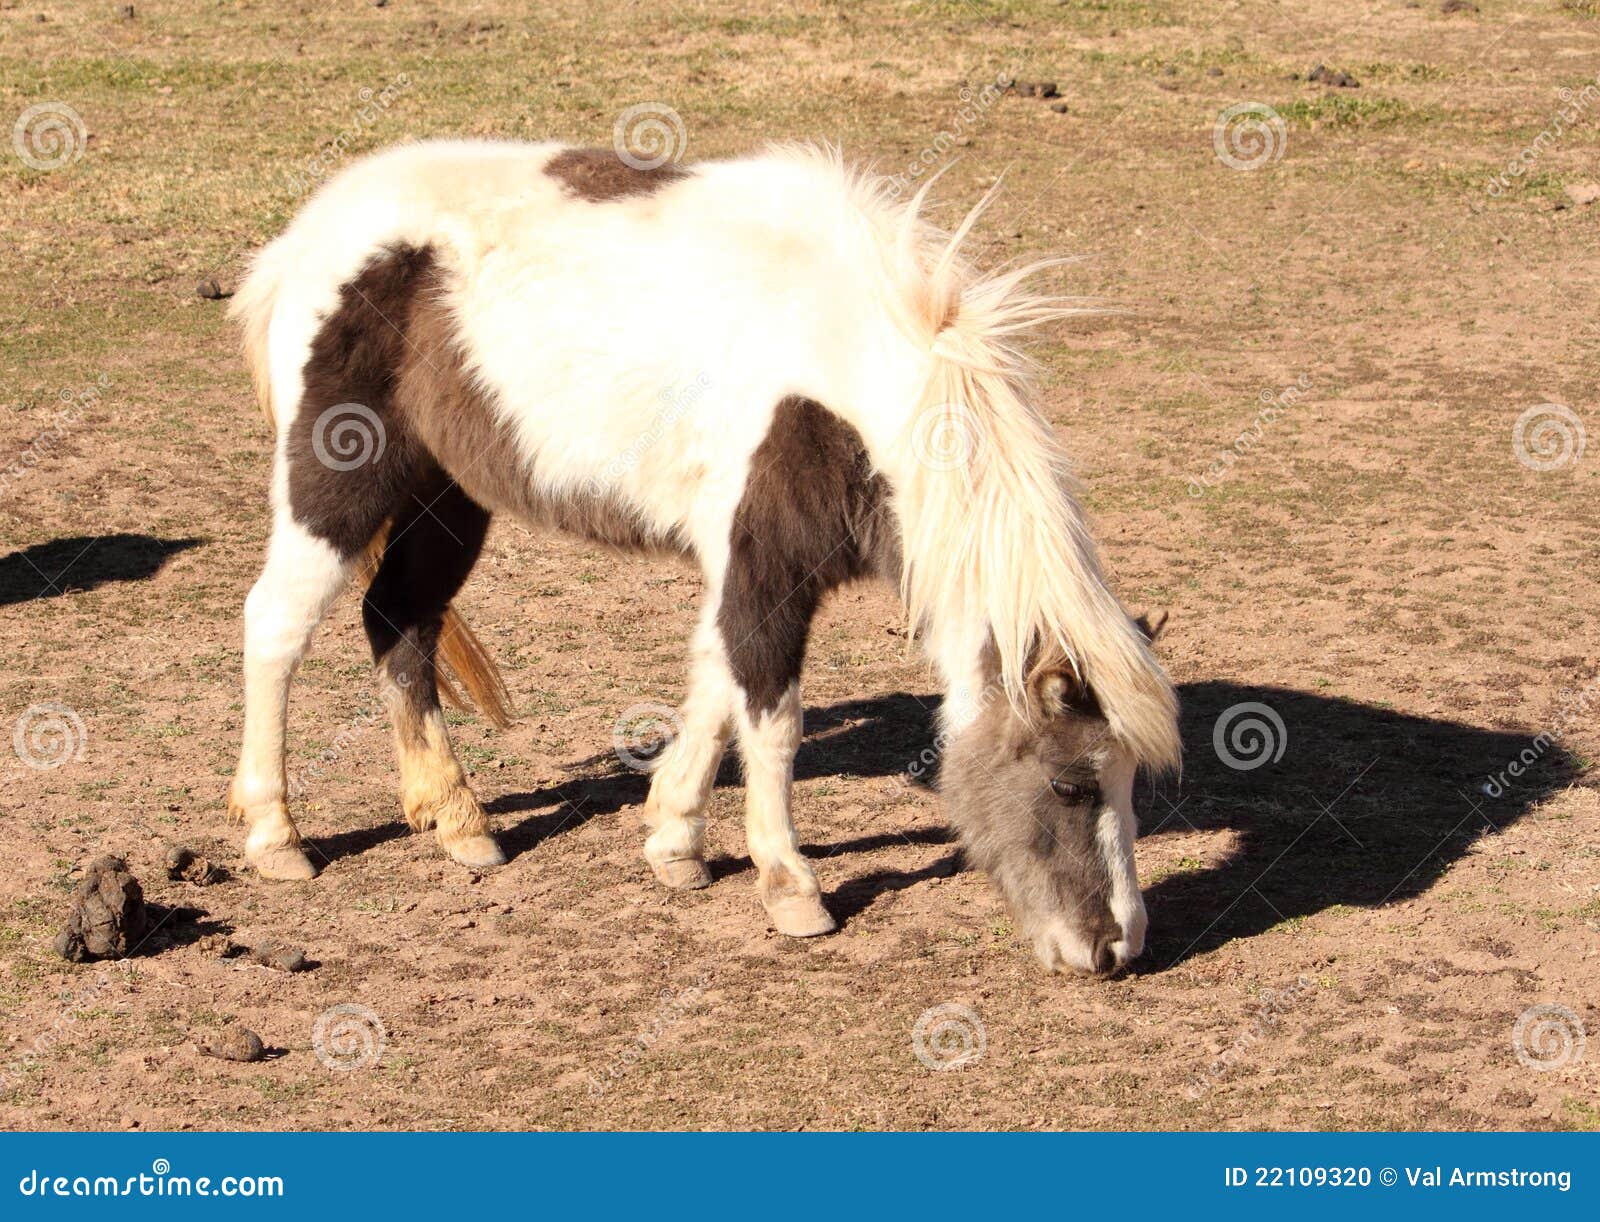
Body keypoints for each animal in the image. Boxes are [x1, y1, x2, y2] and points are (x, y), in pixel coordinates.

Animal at [225, 139, 1181, 976]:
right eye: (1067, 784)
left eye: (1131, 780)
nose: (1116, 949)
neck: (840, 358)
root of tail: (308, 235)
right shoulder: (763, 561)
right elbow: (770, 715)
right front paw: (790, 887)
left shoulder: (746, 566)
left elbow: (717, 687)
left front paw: (674, 841)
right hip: (335, 485)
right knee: (277, 624)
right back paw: (276, 836)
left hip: (447, 496)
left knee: (400, 619)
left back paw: (458, 821)